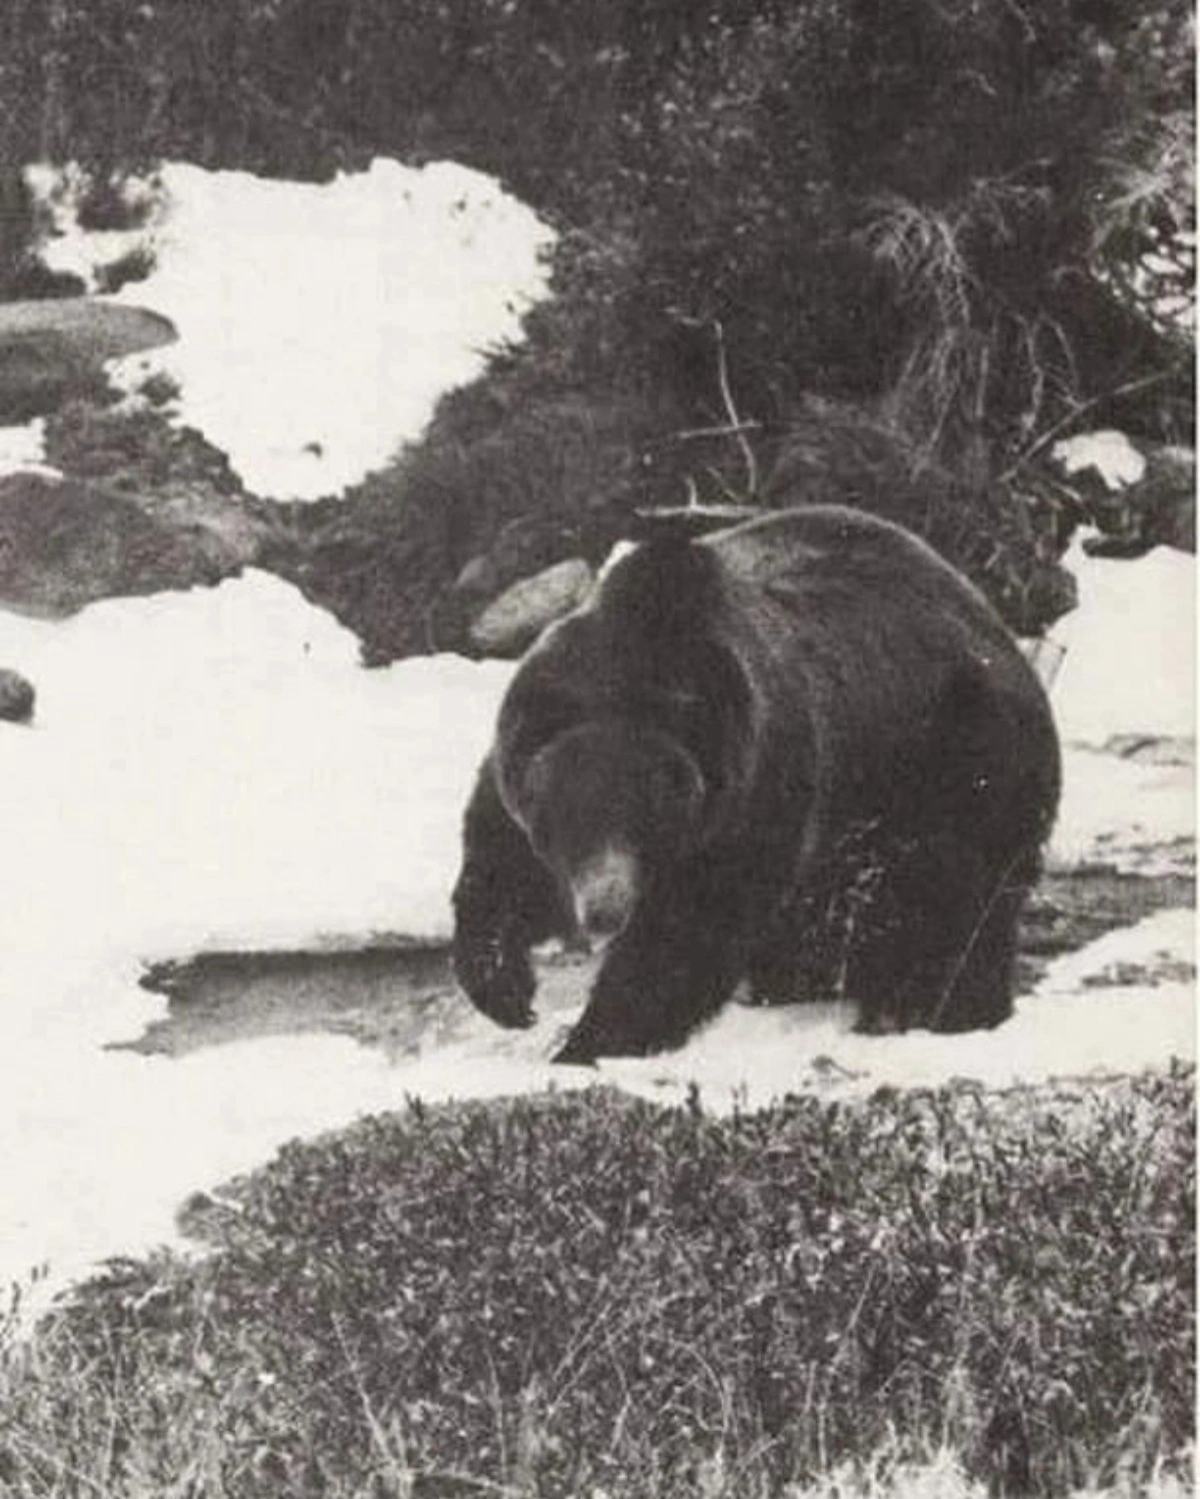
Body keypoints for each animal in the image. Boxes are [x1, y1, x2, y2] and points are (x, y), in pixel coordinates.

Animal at [451, 504, 1061, 1064]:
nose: (605, 910)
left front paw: (589, 1043)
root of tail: (997, 628)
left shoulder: (751, 791)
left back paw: (933, 1010)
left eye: (648, 820)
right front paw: (506, 990)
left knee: (958, 909)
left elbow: (689, 934)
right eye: (565, 823)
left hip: (957, 768)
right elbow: (500, 874)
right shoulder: (525, 759)